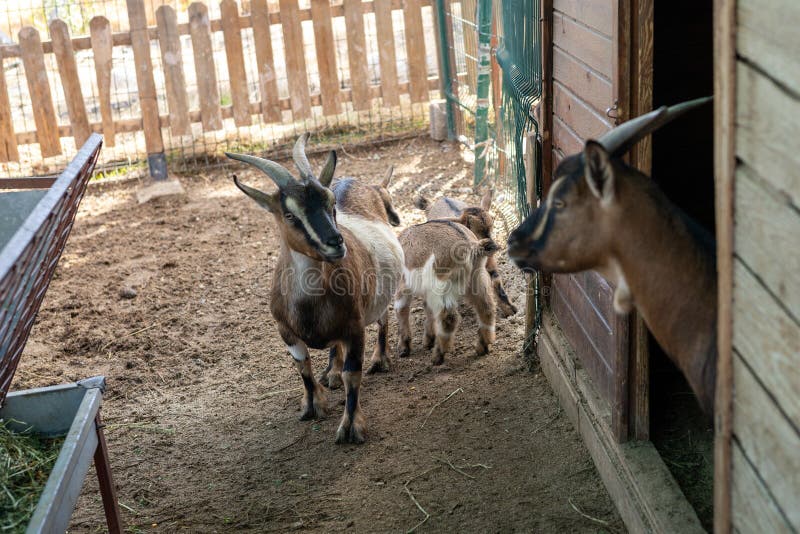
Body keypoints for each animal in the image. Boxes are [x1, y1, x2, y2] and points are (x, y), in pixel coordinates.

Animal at [226, 134, 404, 444]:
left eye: (331, 203)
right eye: (289, 214)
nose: (336, 243)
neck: (308, 305)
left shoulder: (354, 328)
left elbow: (352, 376)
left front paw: (351, 428)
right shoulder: (285, 330)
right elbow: (303, 366)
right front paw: (312, 406)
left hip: (381, 294)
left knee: (382, 321)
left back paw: (380, 359)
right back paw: (331, 371)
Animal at [395, 220, 498, 365]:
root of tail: (472, 246)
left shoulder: (403, 284)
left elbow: (401, 309)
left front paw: (404, 348)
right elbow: (427, 309)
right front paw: (428, 340)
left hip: (442, 285)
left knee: (449, 317)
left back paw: (438, 356)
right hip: (477, 277)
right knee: (487, 308)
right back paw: (482, 347)